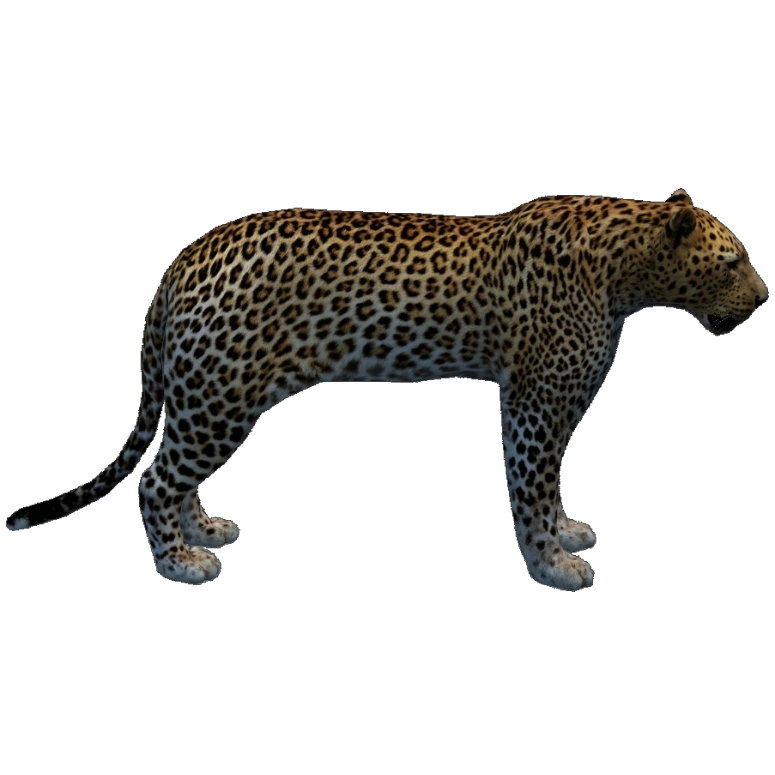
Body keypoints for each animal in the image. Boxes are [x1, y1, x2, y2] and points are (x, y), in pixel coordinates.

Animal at [6, 190, 768, 590]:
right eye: (732, 261)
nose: (762, 299)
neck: (626, 271)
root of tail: (186, 255)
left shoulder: (557, 399)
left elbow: (552, 479)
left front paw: (566, 531)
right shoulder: (535, 399)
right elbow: (532, 482)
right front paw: (553, 562)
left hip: (205, 395)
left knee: (173, 469)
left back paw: (204, 528)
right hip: (221, 394)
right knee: (157, 476)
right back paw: (180, 560)